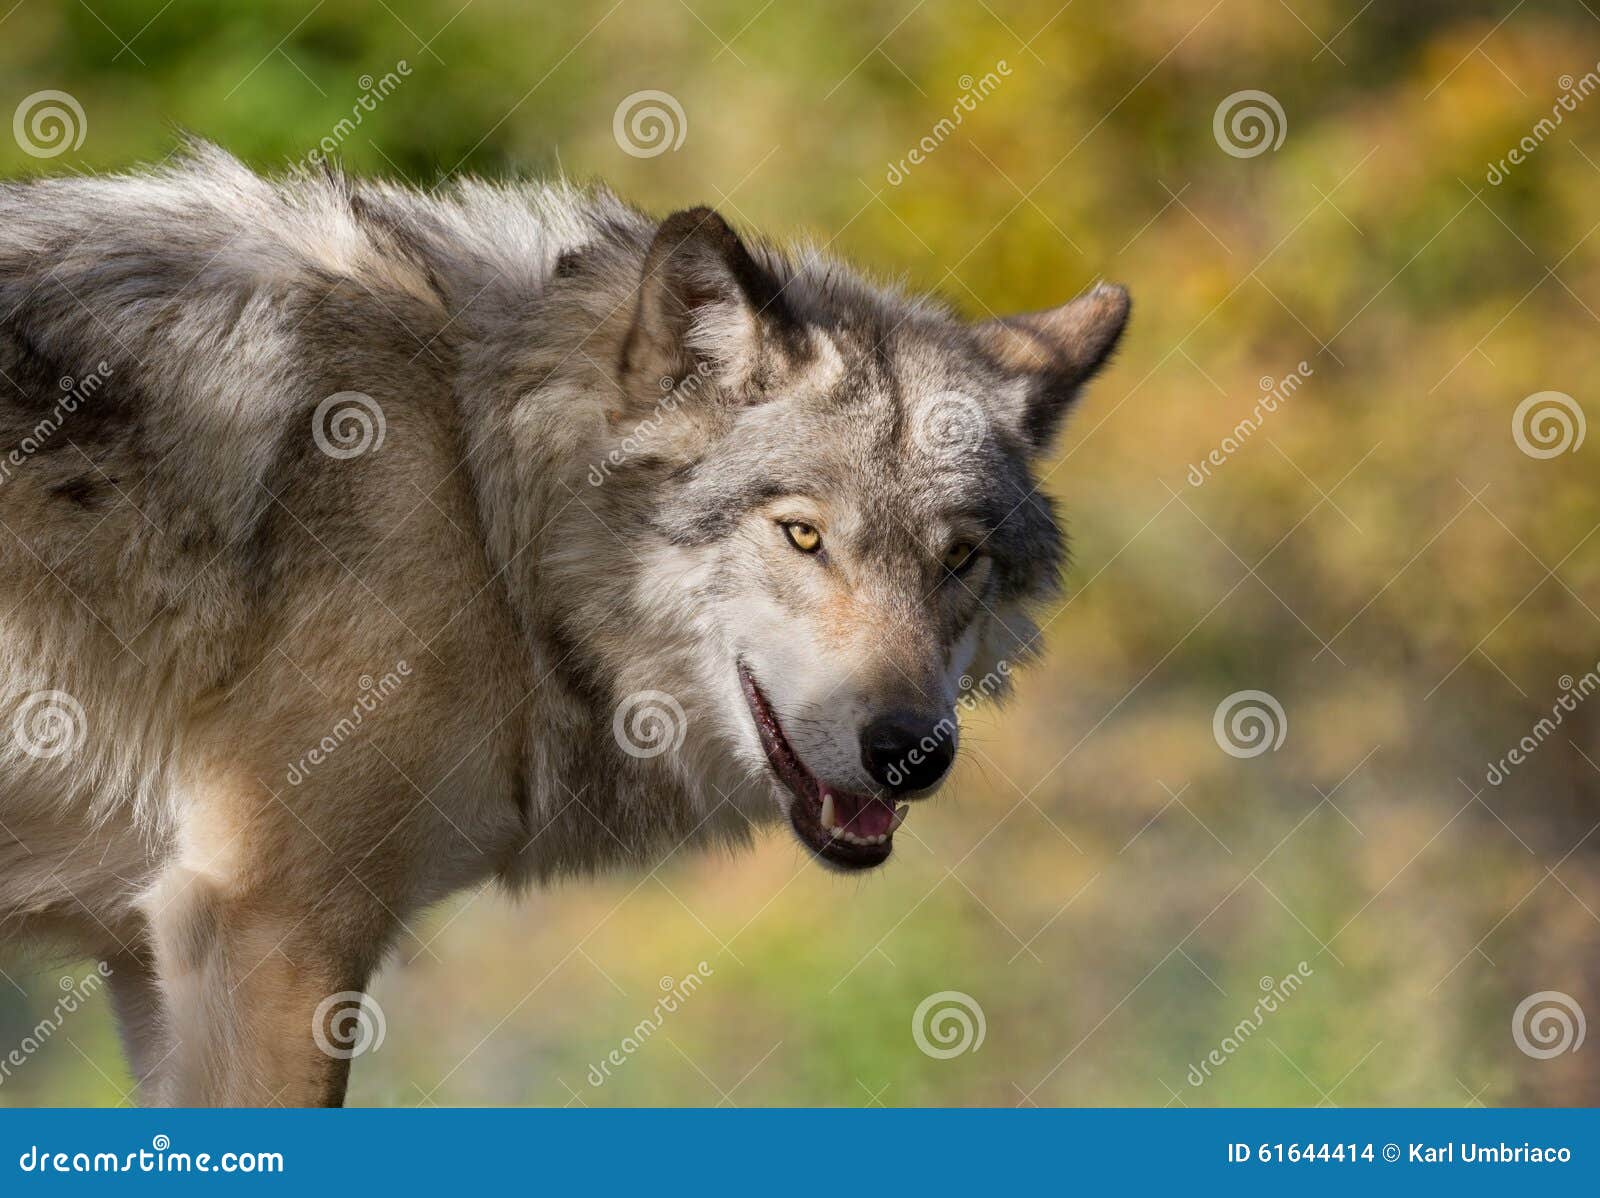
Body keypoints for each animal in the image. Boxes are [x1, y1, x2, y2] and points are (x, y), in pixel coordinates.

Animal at [0, 144, 1127, 1105]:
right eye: (803, 535)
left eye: (960, 559)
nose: (910, 752)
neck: (479, 496)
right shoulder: (269, 930)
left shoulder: (155, 953)